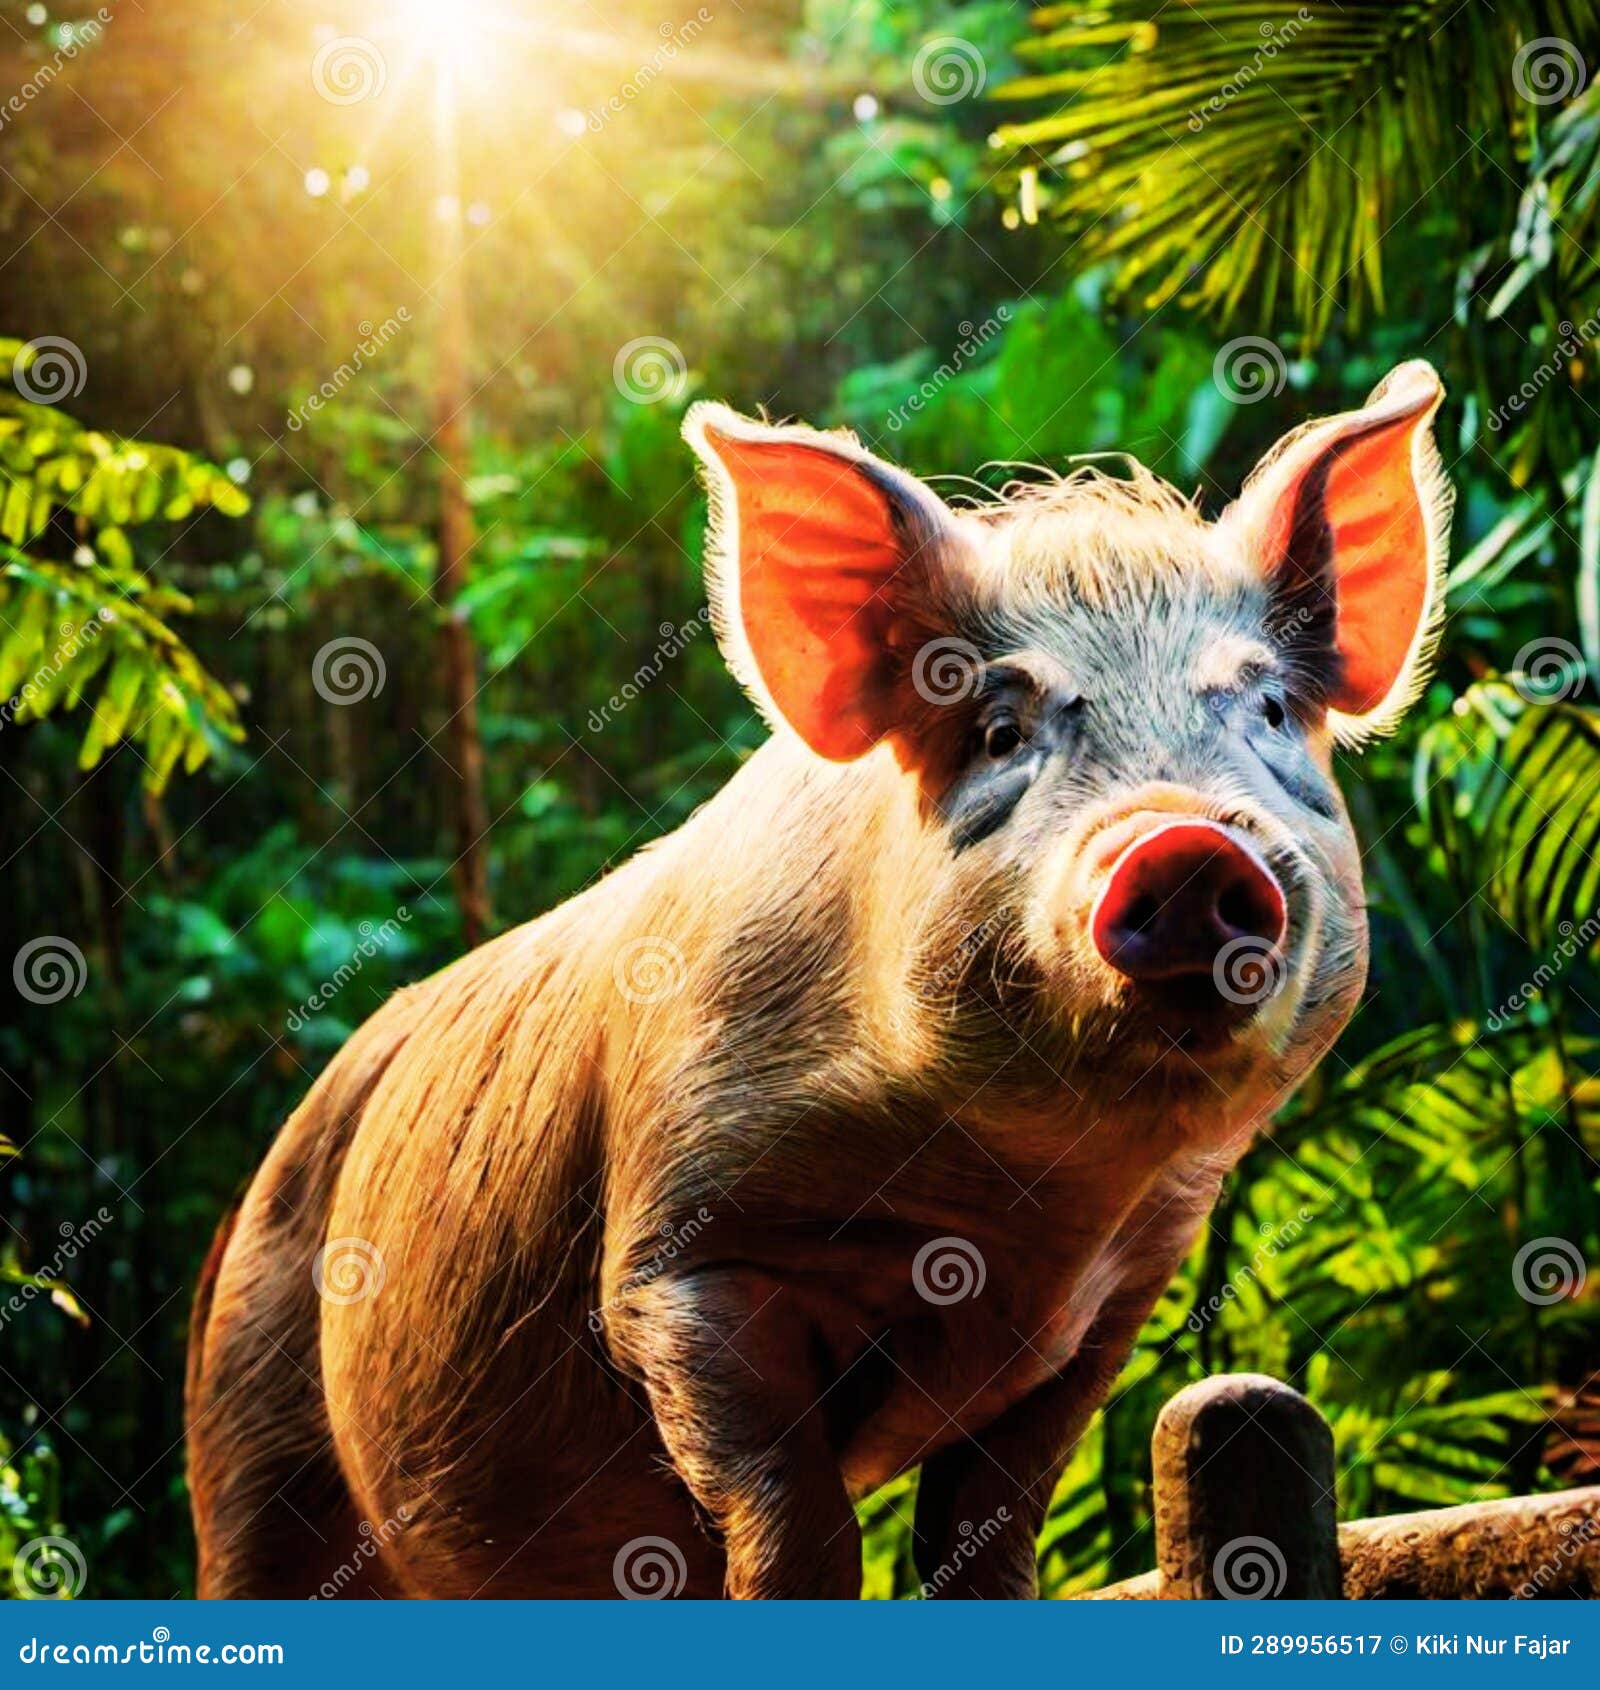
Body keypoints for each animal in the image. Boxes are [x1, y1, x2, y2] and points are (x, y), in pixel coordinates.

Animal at [186, 360, 1451, 1599]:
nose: (1183, 845)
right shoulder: (678, 1250)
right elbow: (797, 1519)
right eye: (999, 729)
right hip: (251, 1423)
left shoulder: (1104, 1310)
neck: (1016, 1213)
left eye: (1270, 707)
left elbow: (988, 1530)